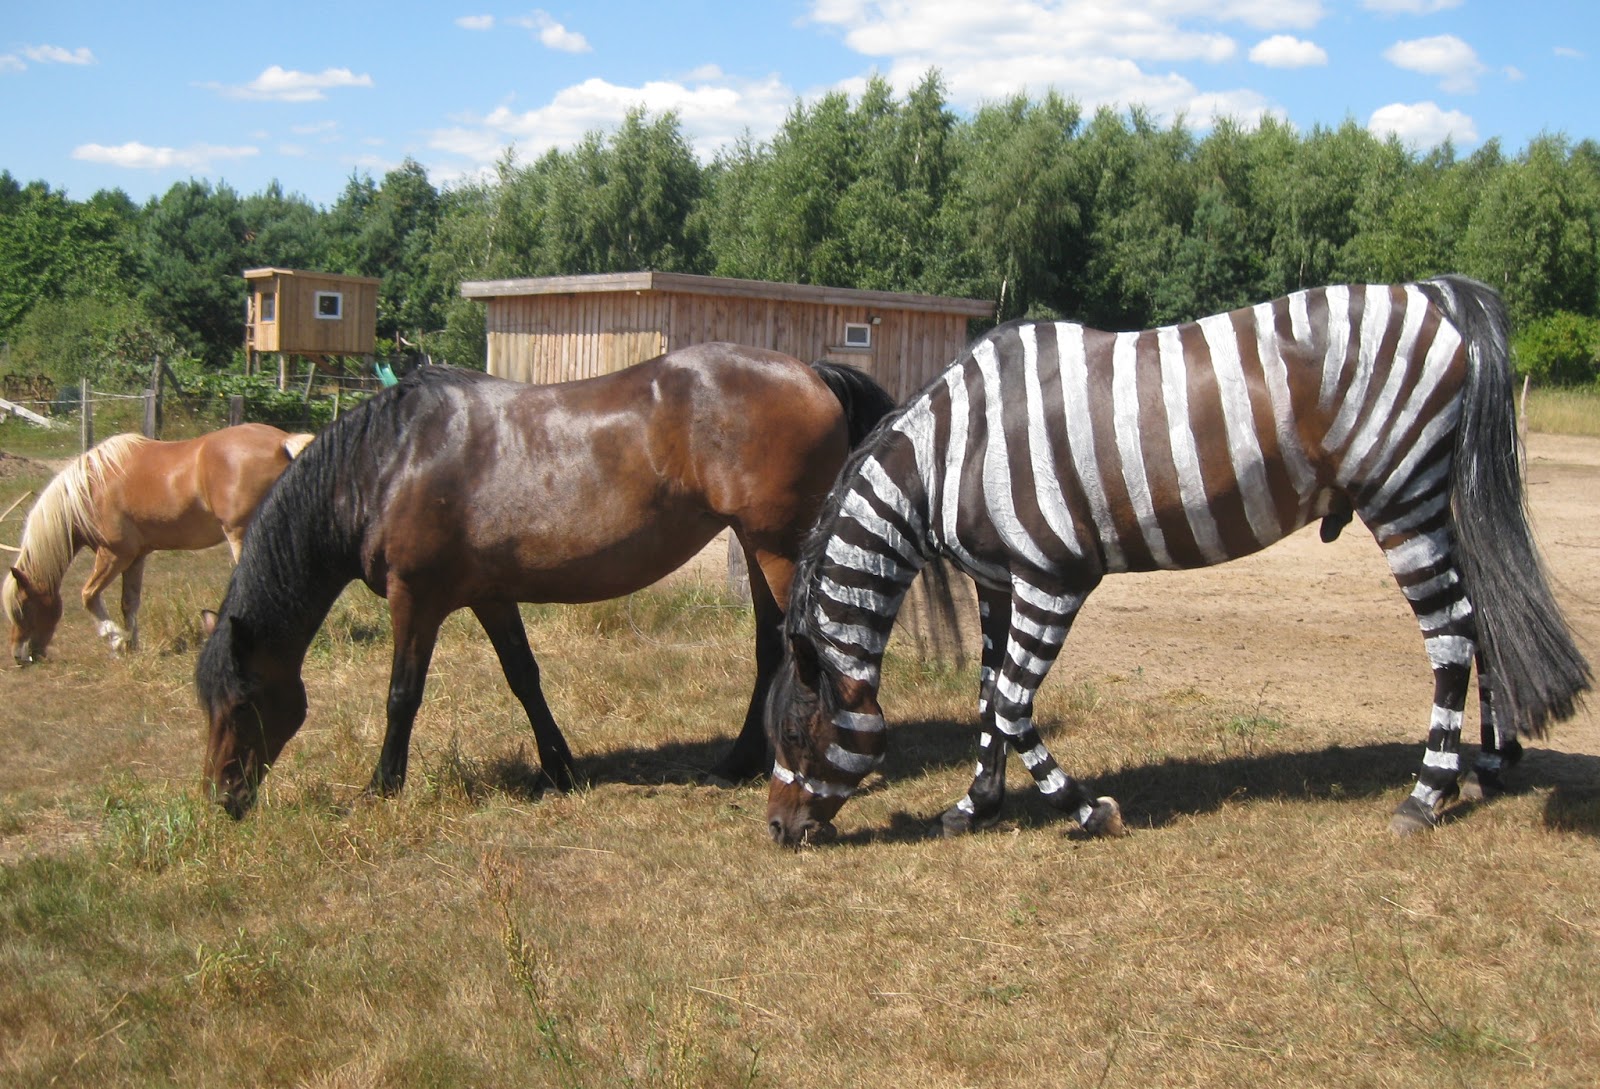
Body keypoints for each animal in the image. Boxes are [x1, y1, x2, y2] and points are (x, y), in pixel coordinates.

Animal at [765, 275, 1591, 846]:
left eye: (799, 736)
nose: (774, 831)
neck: (951, 459)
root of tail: (1431, 293)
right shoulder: (998, 582)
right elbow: (987, 696)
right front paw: (974, 805)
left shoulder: (1053, 579)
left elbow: (1012, 702)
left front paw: (1089, 810)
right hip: (1435, 499)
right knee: (1484, 617)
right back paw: (1487, 768)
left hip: (1403, 498)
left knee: (1450, 635)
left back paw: (1426, 796)